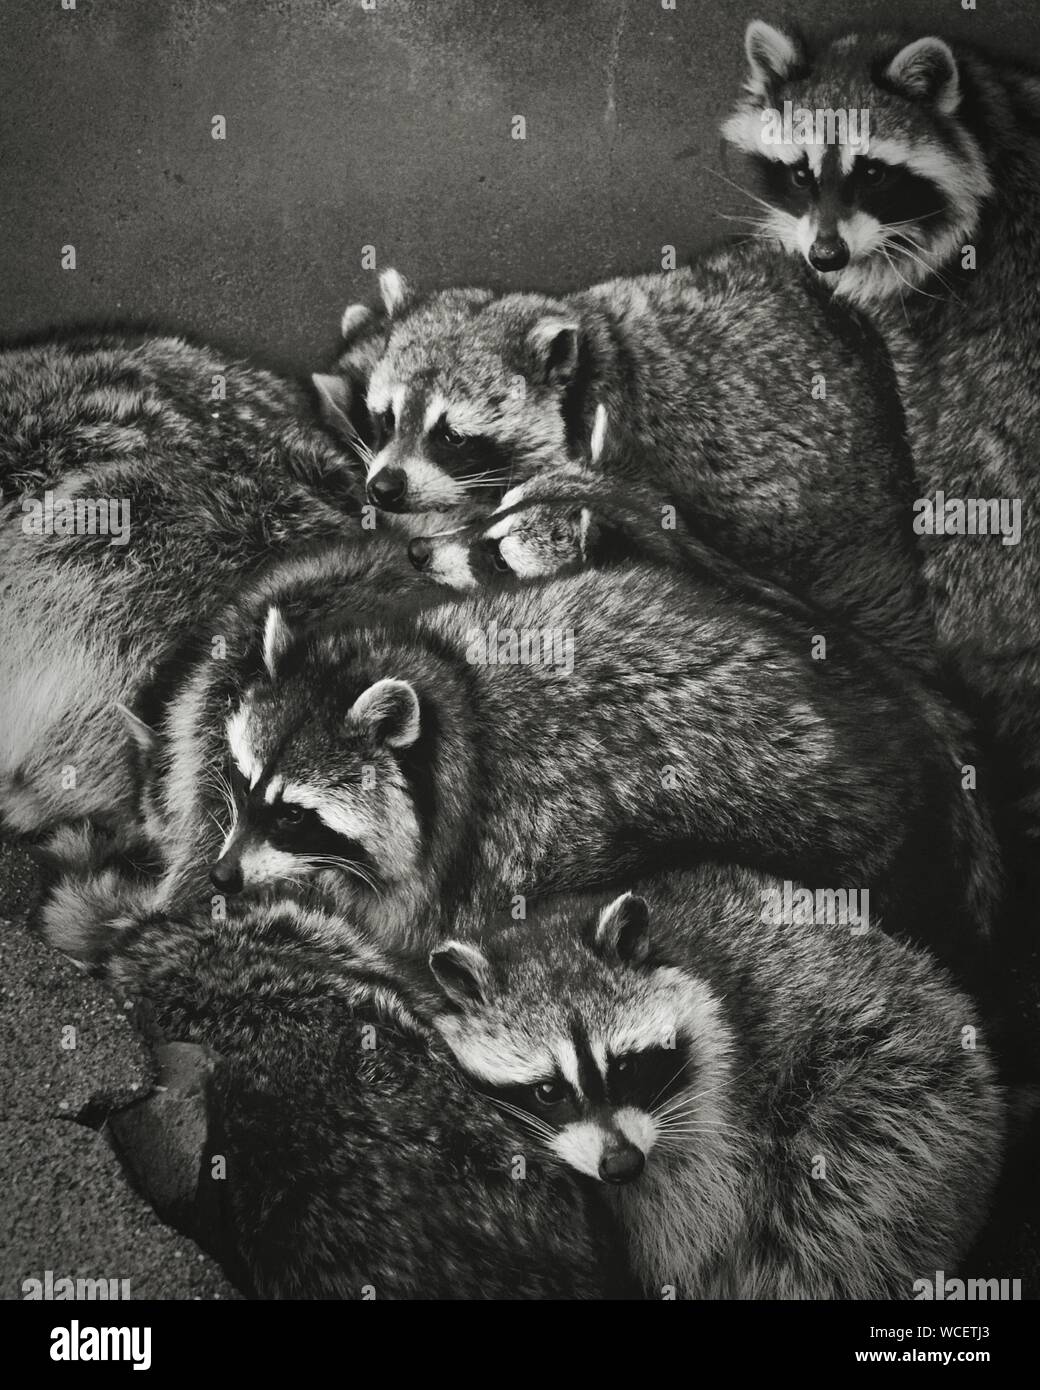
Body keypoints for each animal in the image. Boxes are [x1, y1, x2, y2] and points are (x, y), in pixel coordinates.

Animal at [425, 863, 1005, 1299]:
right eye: (548, 1091)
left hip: (892, 1081)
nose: (621, 1165)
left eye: (626, 1068)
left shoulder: (722, 1110)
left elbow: (698, 1223)